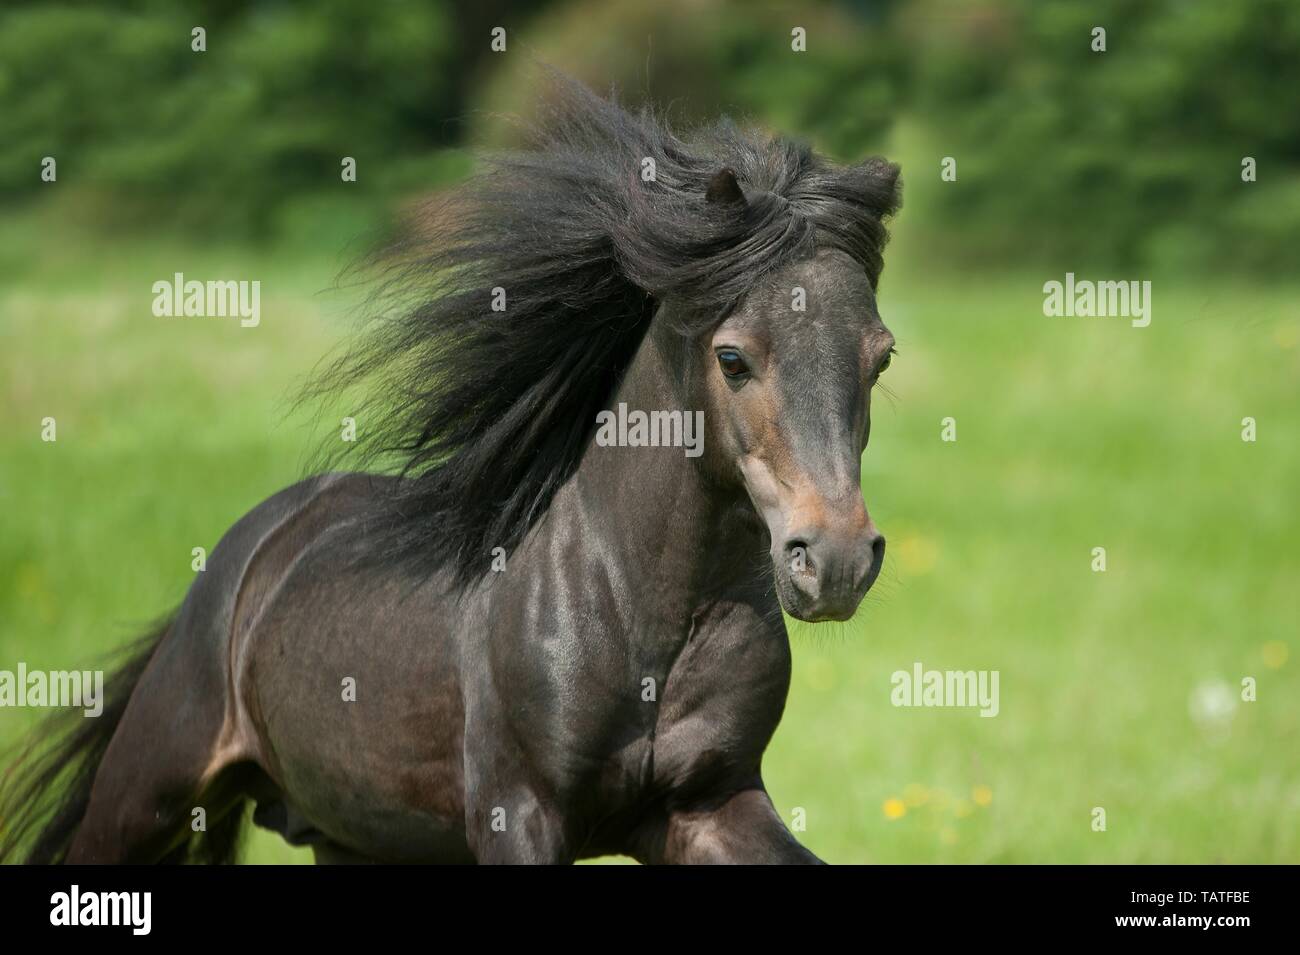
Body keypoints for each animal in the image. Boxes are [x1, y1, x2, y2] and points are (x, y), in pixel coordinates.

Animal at [0, 78, 901, 864]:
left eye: (881, 356)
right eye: (733, 357)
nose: (834, 560)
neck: (643, 608)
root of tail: (242, 555)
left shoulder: (707, 804)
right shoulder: (519, 813)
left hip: (356, 838)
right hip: (150, 792)